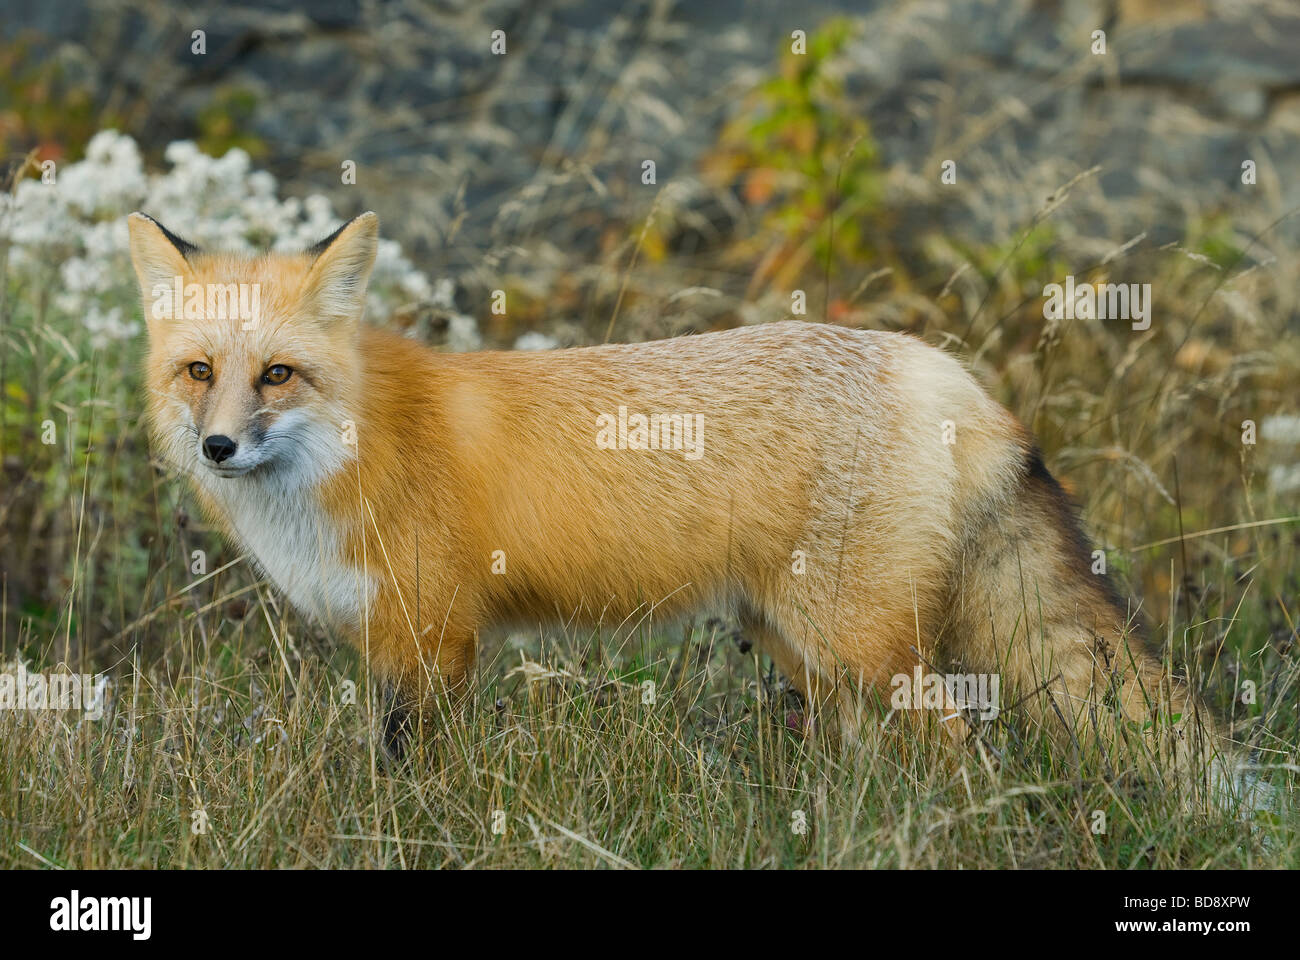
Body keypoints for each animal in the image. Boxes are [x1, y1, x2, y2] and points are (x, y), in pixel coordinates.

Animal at [127, 210, 1257, 805]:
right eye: (200, 372)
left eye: (277, 375)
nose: (220, 447)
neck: (356, 445)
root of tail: (947, 370)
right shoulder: (392, 642)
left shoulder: (431, 636)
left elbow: (409, 779)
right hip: (811, 646)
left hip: (857, 644)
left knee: (961, 750)